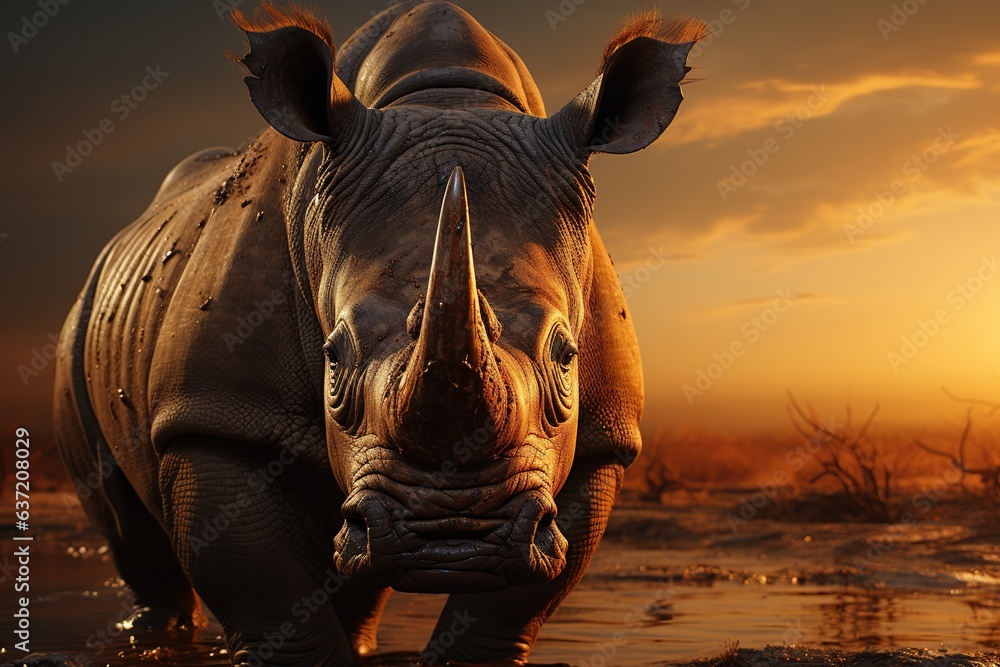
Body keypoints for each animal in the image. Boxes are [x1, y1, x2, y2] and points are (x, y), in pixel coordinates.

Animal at [53, 2, 704, 664]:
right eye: (333, 355)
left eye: (568, 354)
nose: (452, 538)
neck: (448, 98)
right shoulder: (214, 414)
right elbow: (273, 606)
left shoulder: (602, 436)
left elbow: (501, 617)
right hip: (82, 321)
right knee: (125, 525)